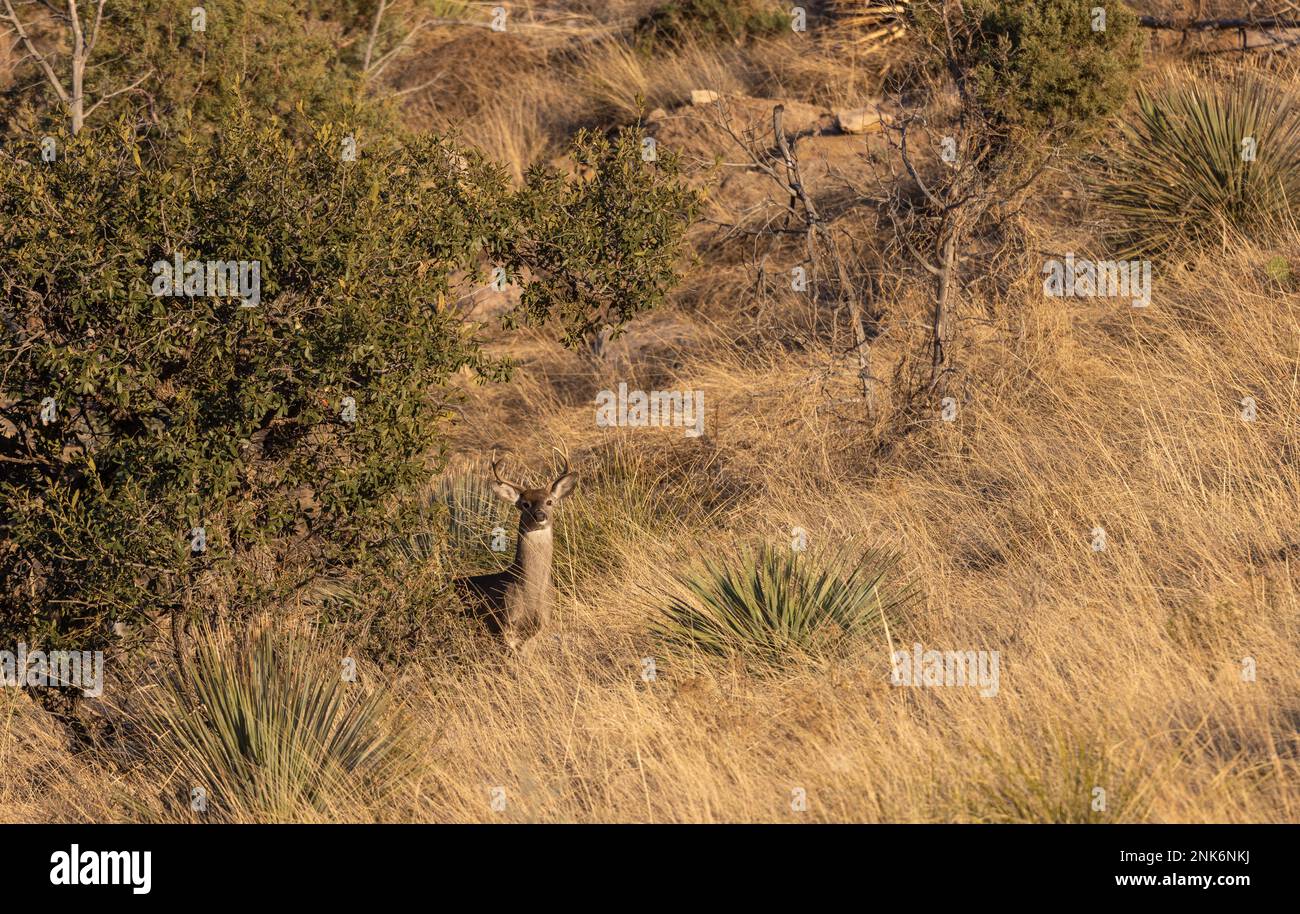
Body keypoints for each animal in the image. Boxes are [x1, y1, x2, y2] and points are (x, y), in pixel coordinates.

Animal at [452, 452, 577, 651]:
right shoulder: (507, 621)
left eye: (550, 501)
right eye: (525, 504)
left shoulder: (545, 620)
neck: (531, 591)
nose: (540, 515)